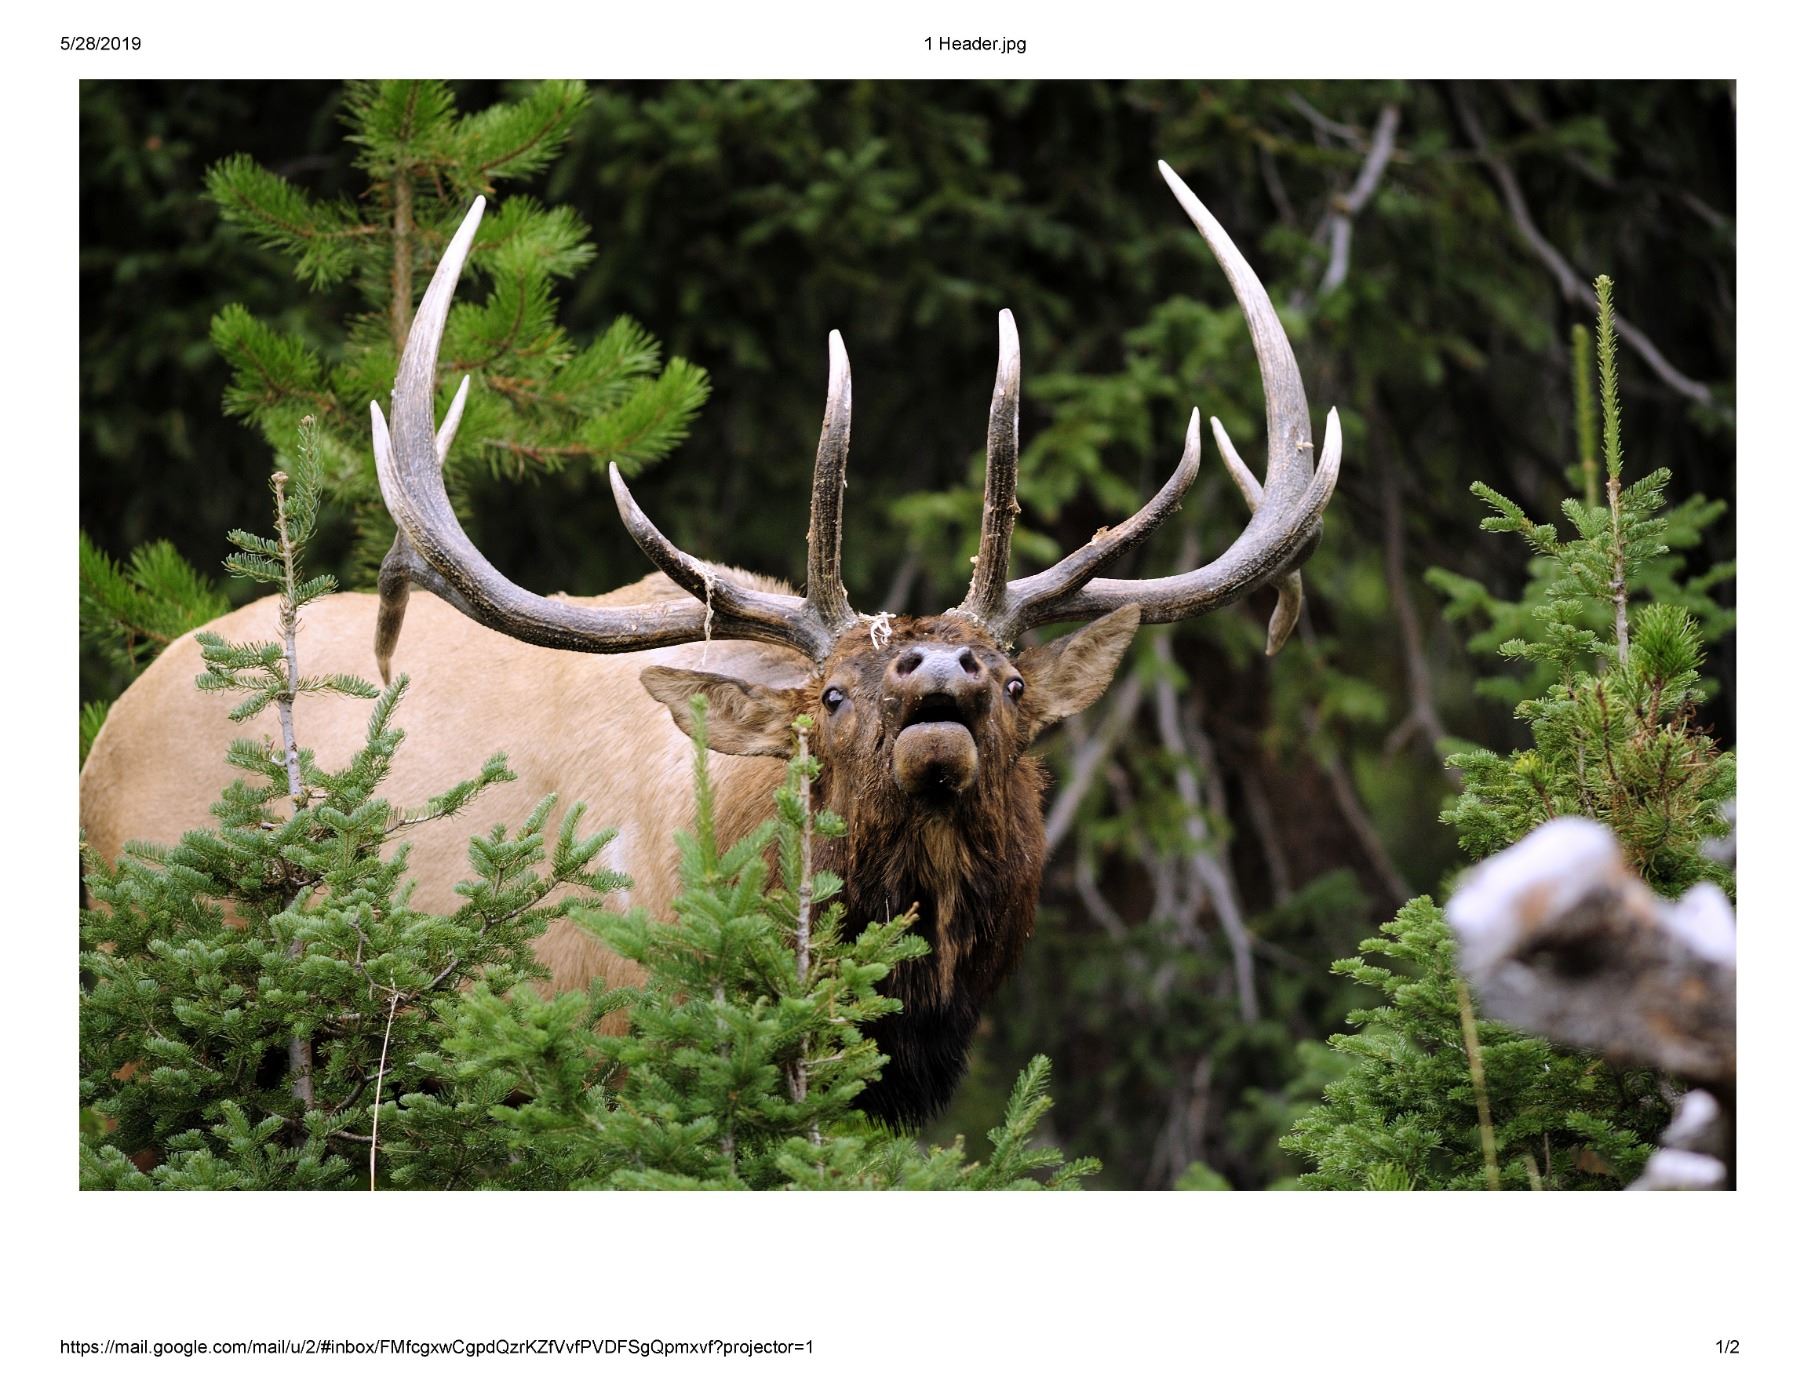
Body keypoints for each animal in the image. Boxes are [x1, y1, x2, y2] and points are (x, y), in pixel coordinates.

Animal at [79, 162, 1341, 1125]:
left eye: (1021, 681)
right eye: (829, 695)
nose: (942, 669)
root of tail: (108, 729)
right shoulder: (602, 1057)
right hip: (151, 989)